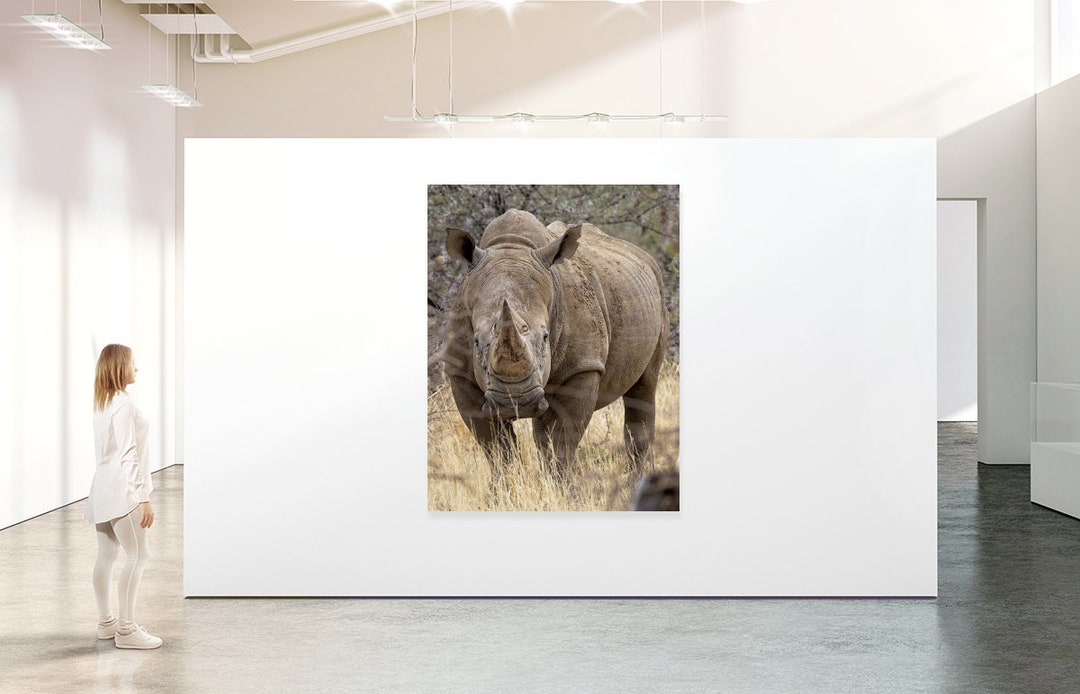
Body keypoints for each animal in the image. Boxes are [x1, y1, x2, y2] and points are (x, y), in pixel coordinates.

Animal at [441, 209, 667, 475]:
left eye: (545, 337)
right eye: (476, 342)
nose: (516, 402)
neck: (512, 245)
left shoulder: (582, 367)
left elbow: (560, 441)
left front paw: (560, 485)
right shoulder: (460, 373)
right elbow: (495, 446)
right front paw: (504, 486)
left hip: (657, 292)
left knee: (645, 386)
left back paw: (639, 478)